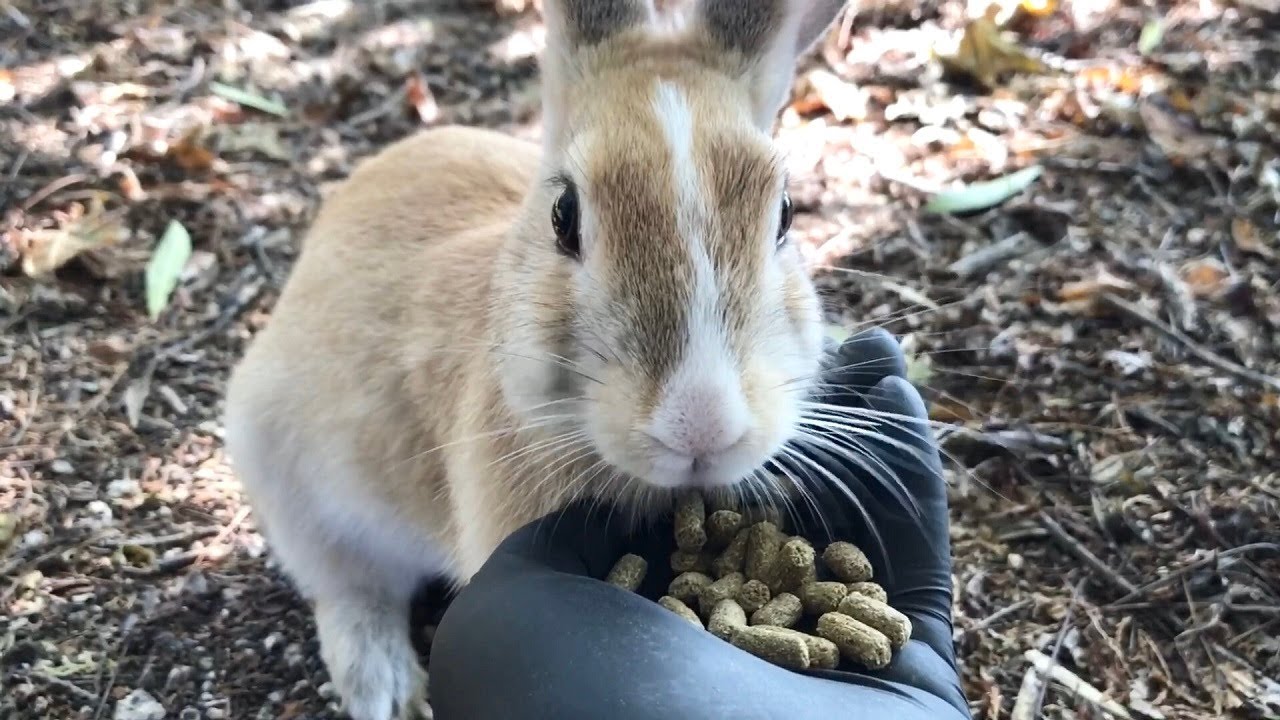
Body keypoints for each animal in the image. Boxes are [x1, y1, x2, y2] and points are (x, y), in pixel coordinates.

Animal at [222, 1, 849, 718]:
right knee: (350, 590)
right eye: (563, 213)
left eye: (786, 214)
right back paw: (389, 688)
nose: (702, 426)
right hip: (292, 486)